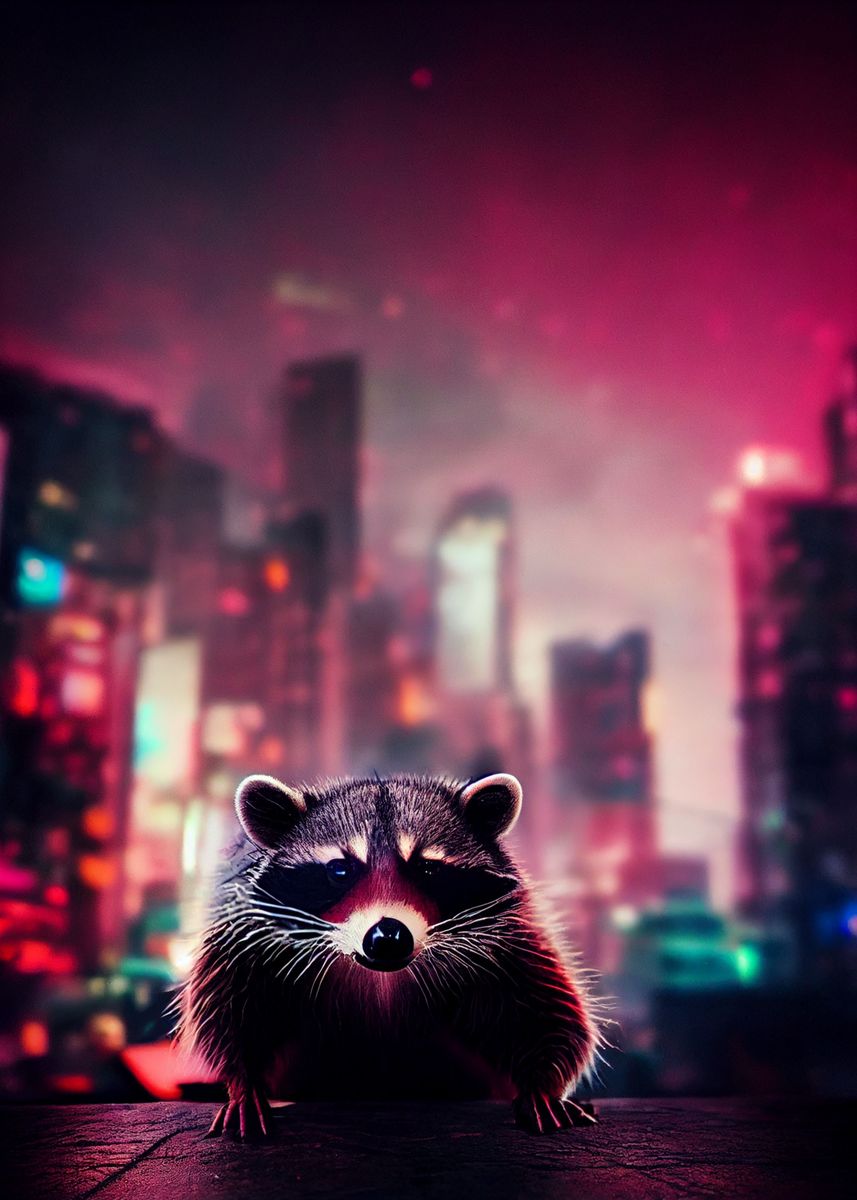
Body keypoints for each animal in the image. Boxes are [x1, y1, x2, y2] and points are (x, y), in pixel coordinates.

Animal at [178, 772, 600, 1137]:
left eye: (427, 868)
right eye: (339, 870)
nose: (388, 937)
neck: (383, 976)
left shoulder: (507, 937)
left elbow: (550, 1010)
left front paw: (541, 1082)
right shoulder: (251, 933)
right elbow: (230, 1007)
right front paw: (243, 1080)